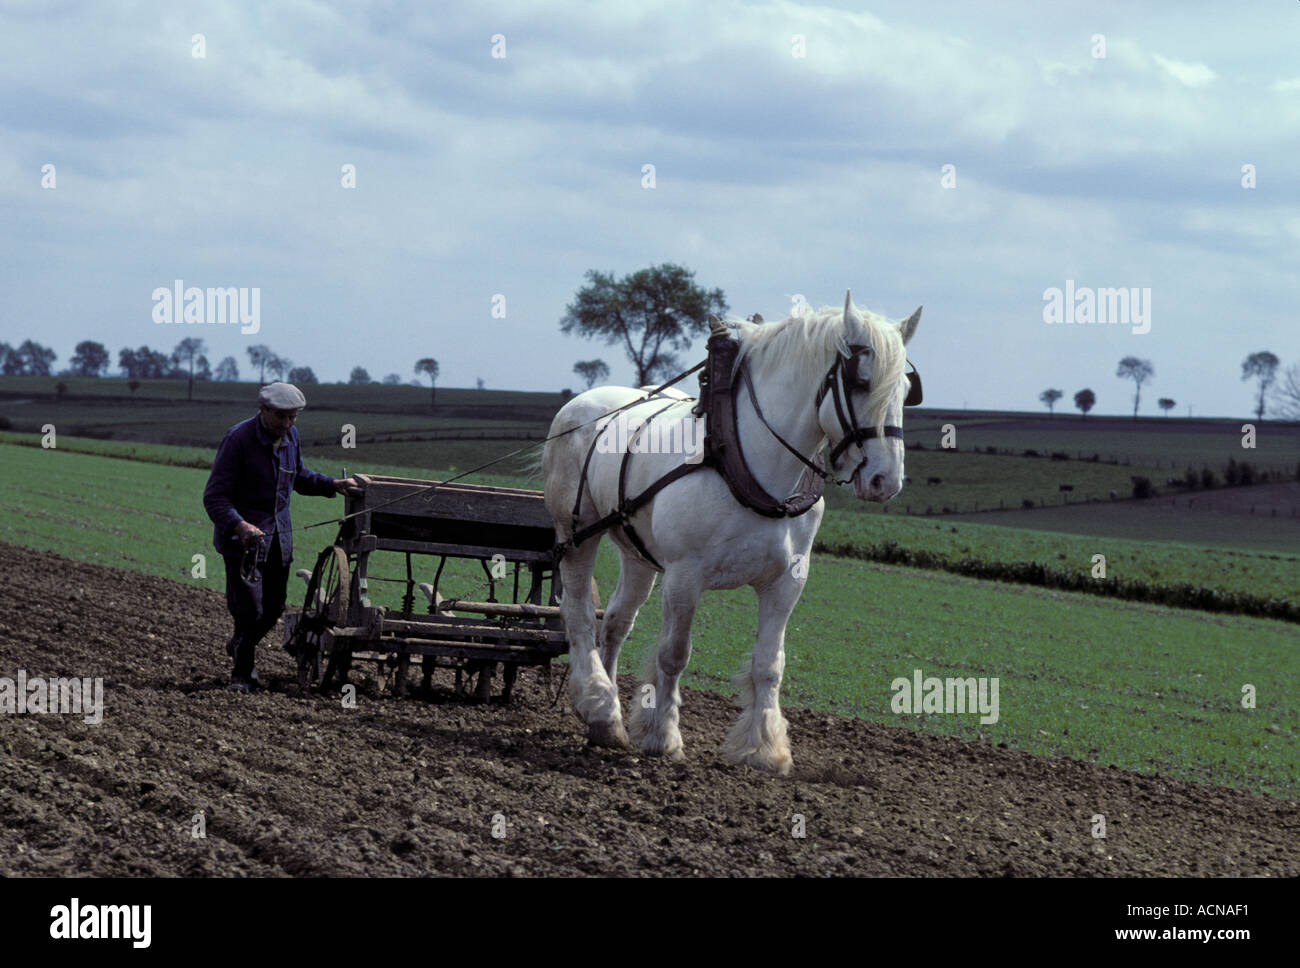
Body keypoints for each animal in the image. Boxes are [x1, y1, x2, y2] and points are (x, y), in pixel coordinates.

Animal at [541, 291, 921, 774]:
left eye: (907, 391)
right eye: (860, 382)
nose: (885, 481)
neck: (747, 463)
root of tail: (580, 405)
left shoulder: (786, 583)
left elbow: (769, 664)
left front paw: (764, 749)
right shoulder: (684, 576)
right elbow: (674, 653)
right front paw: (663, 737)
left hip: (637, 553)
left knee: (616, 622)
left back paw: (608, 722)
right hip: (575, 533)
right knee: (577, 613)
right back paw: (598, 704)